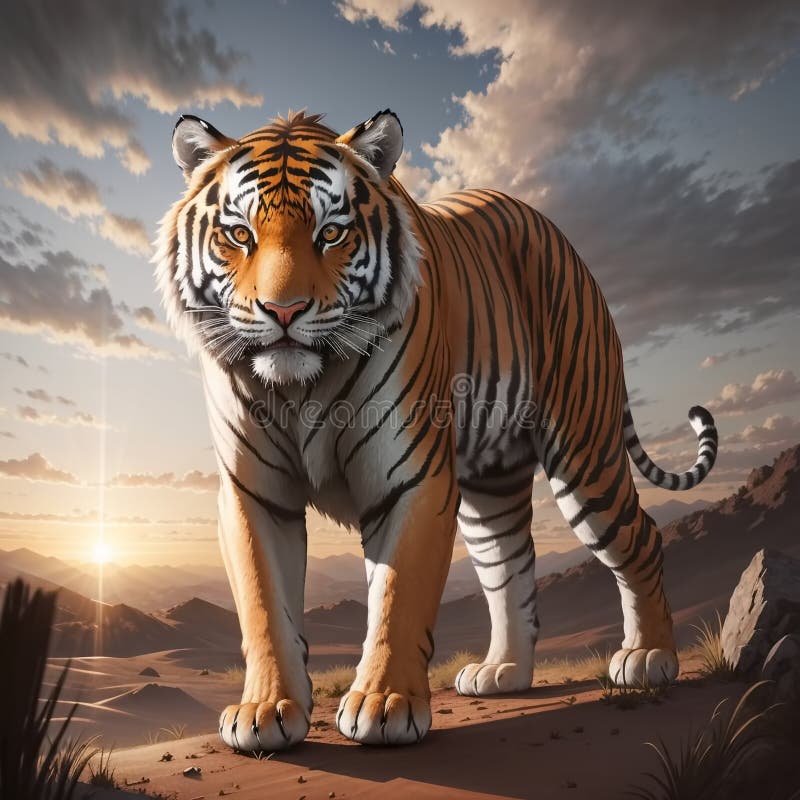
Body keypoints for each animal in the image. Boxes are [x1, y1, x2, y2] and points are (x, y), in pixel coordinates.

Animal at [154, 109, 718, 751]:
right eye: (240, 235)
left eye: (331, 234)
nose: (284, 311)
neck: (302, 387)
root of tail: (556, 232)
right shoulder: (254, 491)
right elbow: (265, 605)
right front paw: (266, 710)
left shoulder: (411, 475)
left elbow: (399, 598)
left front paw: (384, 705)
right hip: (492, 487)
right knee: (509, 566)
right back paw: (503, 672)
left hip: (585, 450)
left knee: (639, 535)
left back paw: (649, 657)